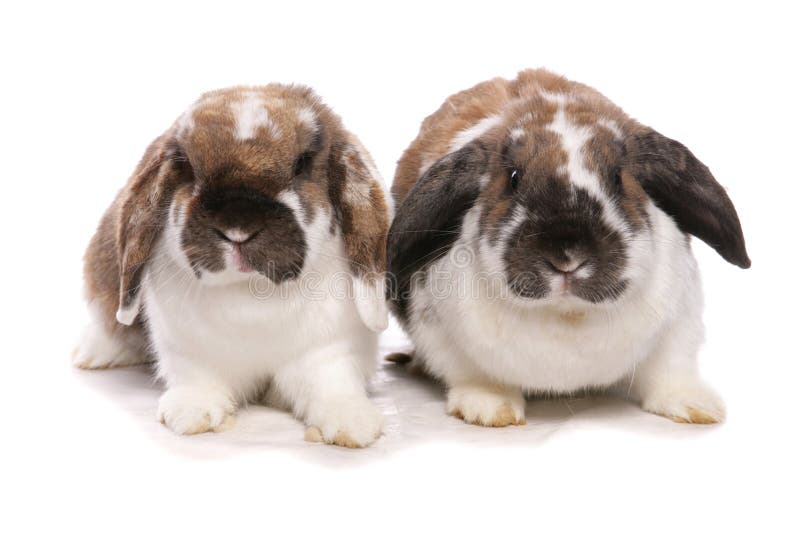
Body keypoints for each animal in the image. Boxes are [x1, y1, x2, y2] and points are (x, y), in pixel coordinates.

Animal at [73, 84, 390, 447]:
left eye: (302, 163)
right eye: (188, 168)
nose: (238, 227)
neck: (251, 293)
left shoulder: (329, 348)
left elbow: (332, 382)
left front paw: (351, 424)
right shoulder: (187, 350)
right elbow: (196, 379)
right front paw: (191, 413)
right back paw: (91, 354)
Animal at [387, 69, 750, 427]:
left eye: (617, 178)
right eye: (513, 178)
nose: (567, 257)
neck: (568, 313)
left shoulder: (680, 321)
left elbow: (671, 370)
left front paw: (697, 406)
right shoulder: (443, 337)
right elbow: (474, 377)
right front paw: (490, 409)